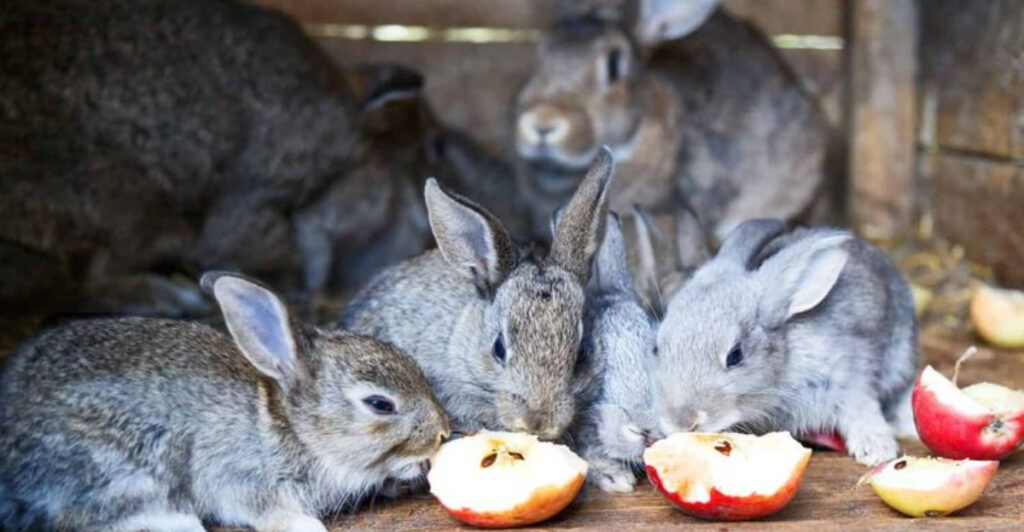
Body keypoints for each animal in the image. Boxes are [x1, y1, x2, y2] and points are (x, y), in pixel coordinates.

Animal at [0, 272, 449, 532]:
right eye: (380, 404)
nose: (442, 433)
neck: (291, 428)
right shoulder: (237, 475)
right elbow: (262, 507)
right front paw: (304, 525)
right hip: (117, 465)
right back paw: (178, 523)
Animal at [650, 219, 918, 466]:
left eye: (735, 355)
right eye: (657, 348)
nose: (681, 422)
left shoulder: (850, 378)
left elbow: (861, 409)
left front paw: (876, 451)